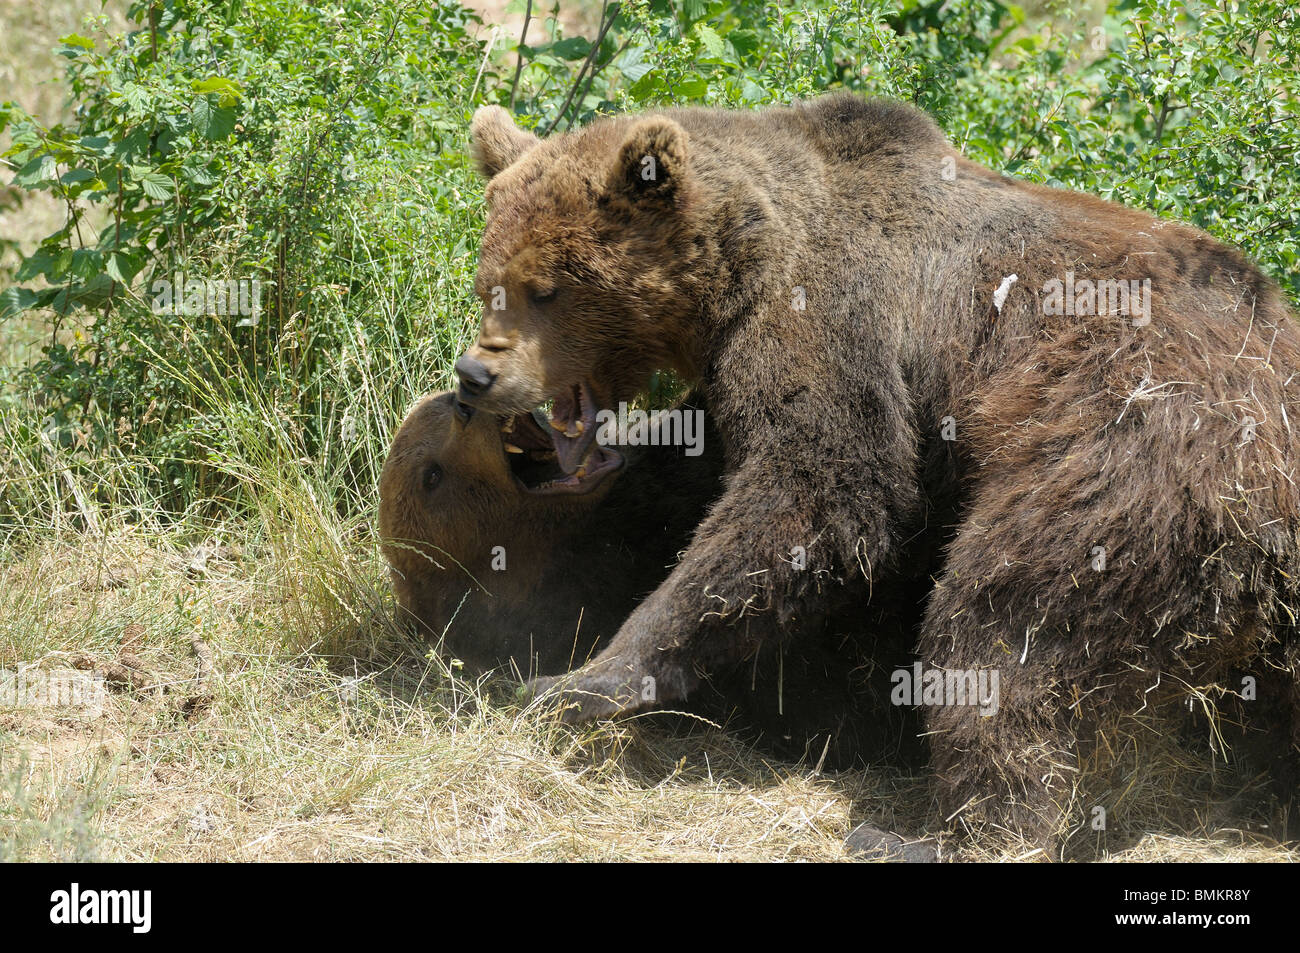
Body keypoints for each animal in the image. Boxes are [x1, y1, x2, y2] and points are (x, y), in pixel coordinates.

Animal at [452, 91, 1300, 855]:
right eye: (489, 276)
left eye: (547, 287)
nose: (475, 375)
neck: (742, 267)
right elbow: (688, 479)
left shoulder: (832, 324)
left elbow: (820, 491)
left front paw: (584, 678)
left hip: (1132, 458)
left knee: (1002, 623)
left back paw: (931, 833)